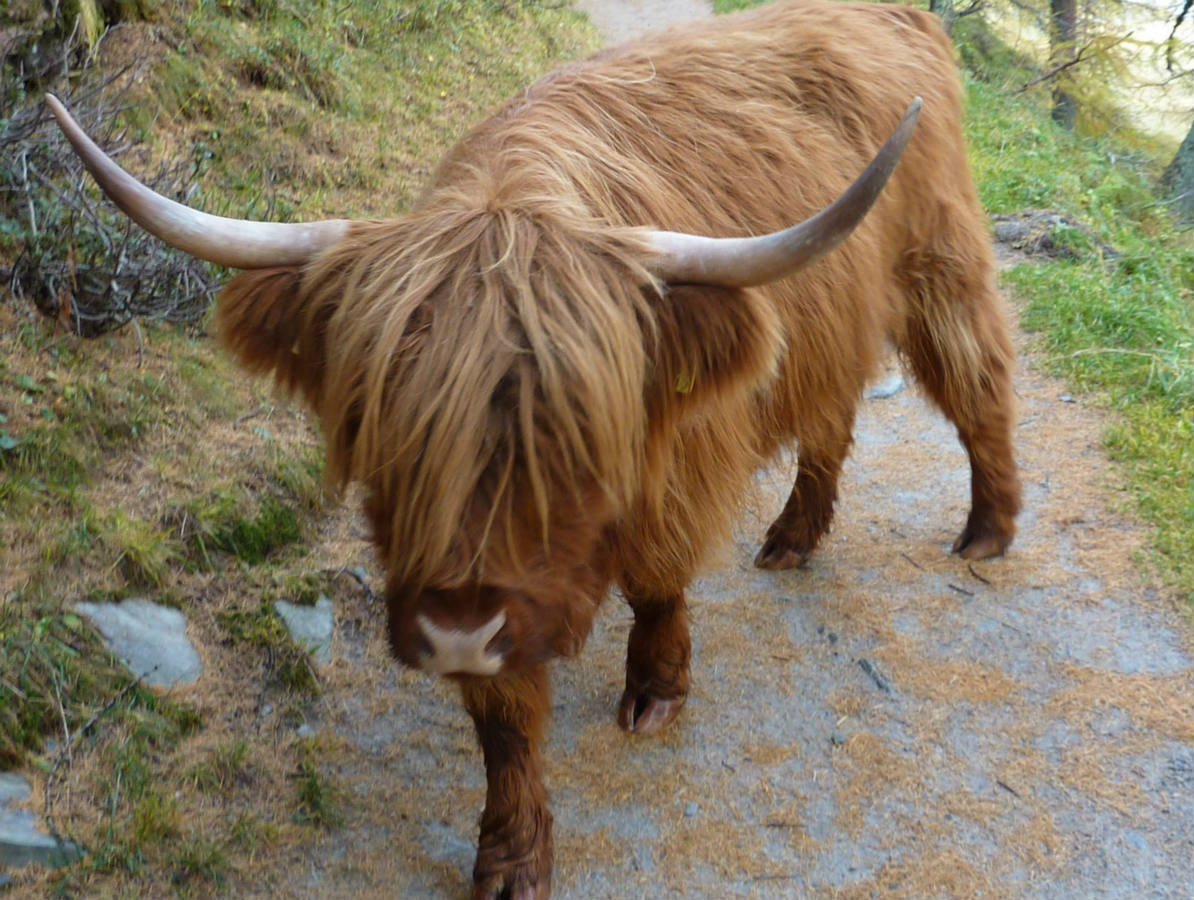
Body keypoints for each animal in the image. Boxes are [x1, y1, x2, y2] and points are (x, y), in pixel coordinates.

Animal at [48, 1, 1020, 896]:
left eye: (576, 442)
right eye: (383, 432)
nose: (455, 632)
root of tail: (892, 15)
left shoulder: (673, 467)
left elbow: (656, 578)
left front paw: (656, 689)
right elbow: (505, 719)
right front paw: (512, 853)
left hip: (938, 261)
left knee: (978, 383)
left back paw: (988, 529)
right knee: (831, 414)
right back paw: (793, 537)